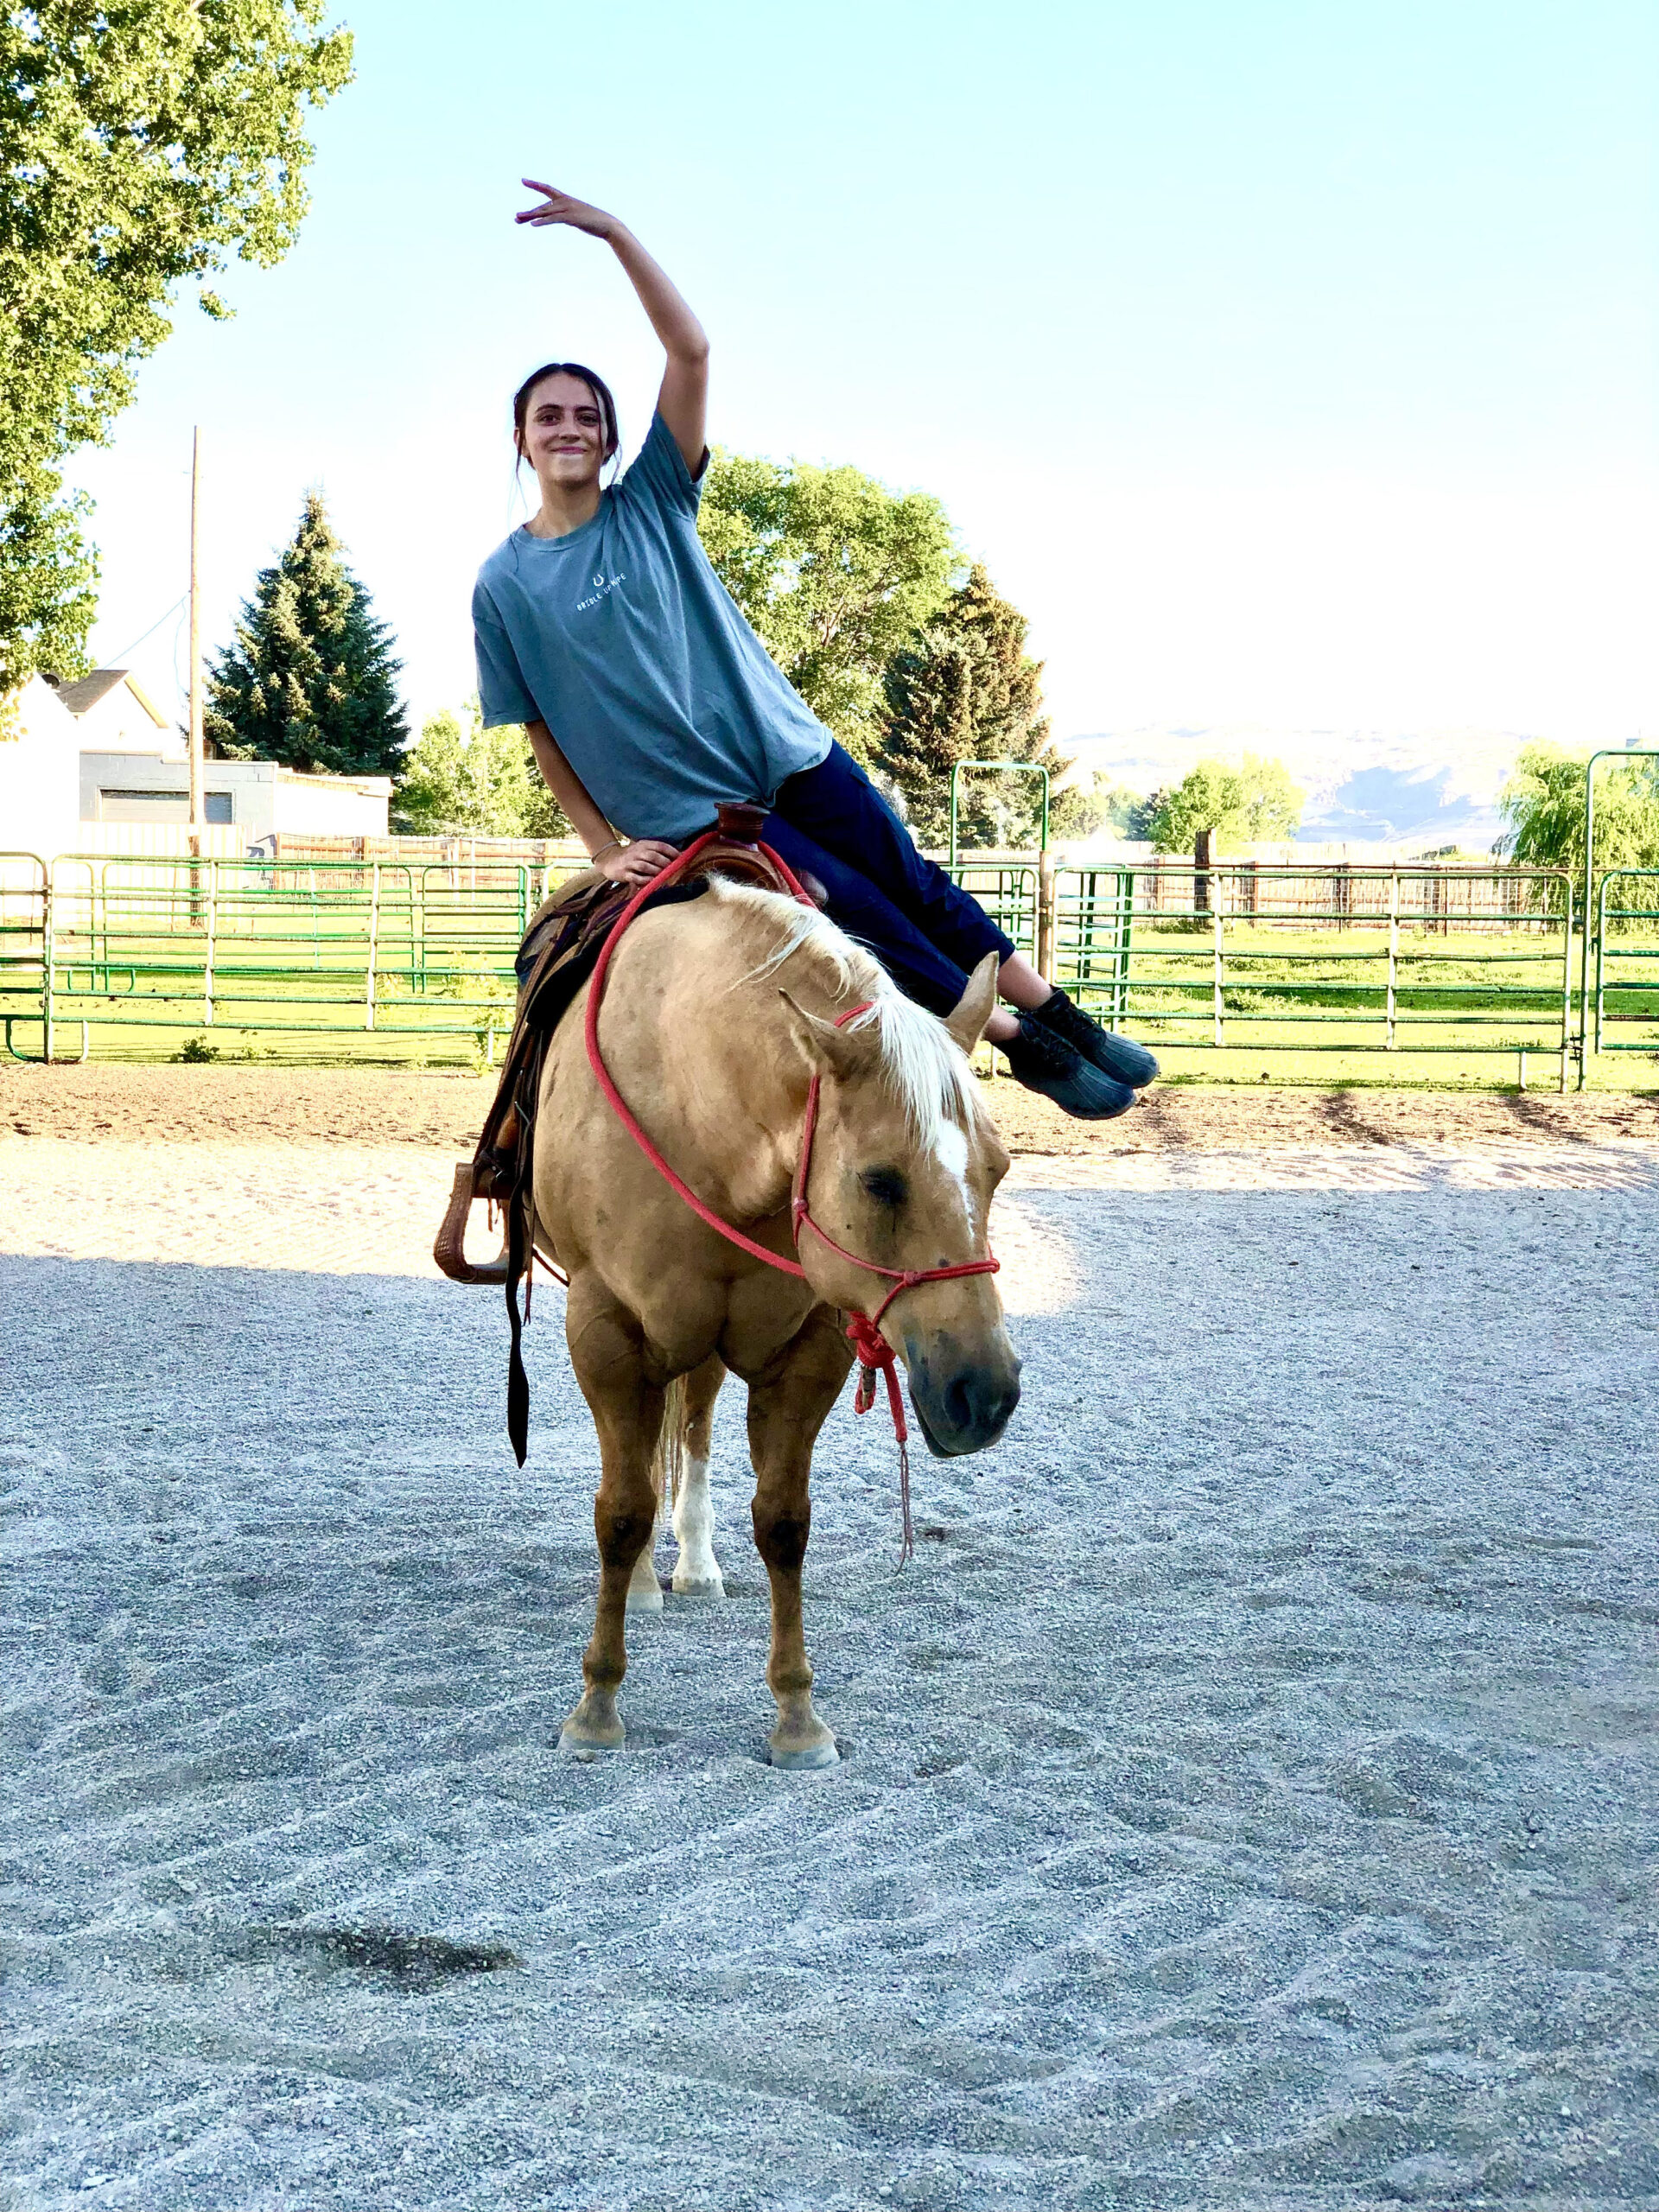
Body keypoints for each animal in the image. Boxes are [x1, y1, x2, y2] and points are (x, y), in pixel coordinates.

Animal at [529, 875, 1022, 1768]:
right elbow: (619, 1512)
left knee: (691, 1424)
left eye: (998, 1169)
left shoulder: (809, 1347)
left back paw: (692, 1565)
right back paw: (648, 1580)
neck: (698, 1104)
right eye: (880, 1181)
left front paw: (797, 1716)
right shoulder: (605, 1331)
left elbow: (784, 1522)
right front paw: (596, 1705)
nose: (986, 1392)